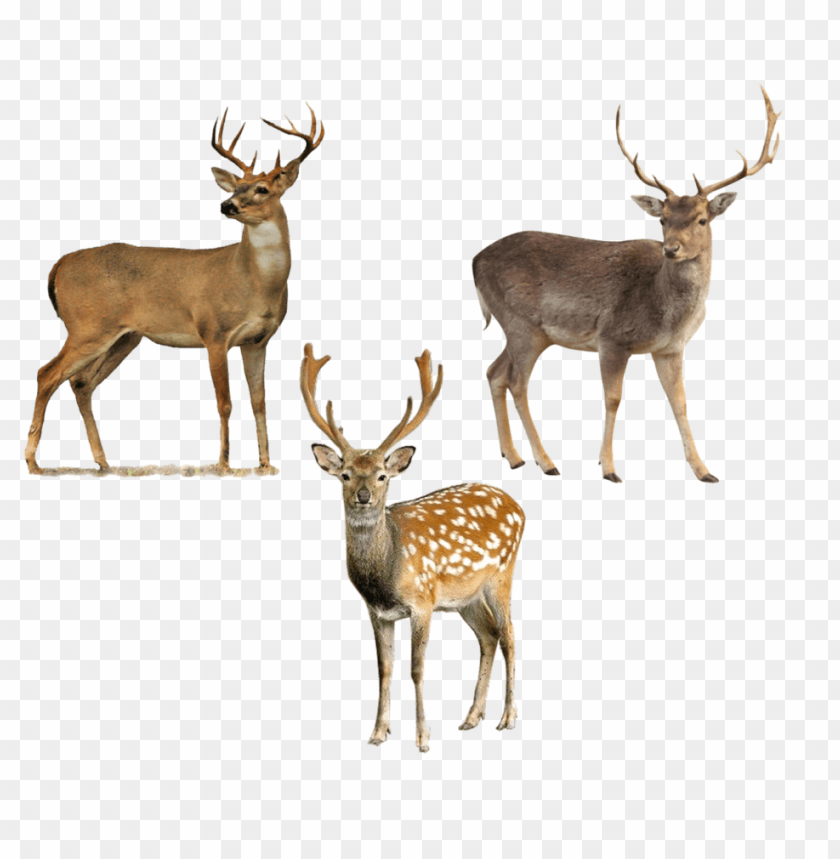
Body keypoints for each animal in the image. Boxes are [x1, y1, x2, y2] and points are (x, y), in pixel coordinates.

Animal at [25, 105, 325, 475]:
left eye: (262, 189)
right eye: (236, 187)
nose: (227, 206)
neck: (253, 281)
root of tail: (59, 266)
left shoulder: (258, 340)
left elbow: (259, 401)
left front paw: (265, 464)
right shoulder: (214, 332)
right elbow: (225, 402)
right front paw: (224, 463)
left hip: (124, 336)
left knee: (80, 383)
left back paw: (103, 462)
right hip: (88, 326)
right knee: (46, 374)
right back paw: (33, 461)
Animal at [301, 344, 524, 752]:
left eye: (381, 475)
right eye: (345, 474)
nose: (362, 496)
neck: (385, 572)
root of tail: (519, 508)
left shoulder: (422, 601)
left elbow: (416, 668)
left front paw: (422, 737)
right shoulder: (378, 612)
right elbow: (384, 668)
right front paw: (377, 732)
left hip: (501, 575)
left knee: (510, 636)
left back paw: (507, 718)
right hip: (465, 597)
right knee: (489, 635)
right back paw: (472, 717)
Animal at [473, 86, 781, 483]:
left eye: (701, 219)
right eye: (663, 219)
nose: (671, 249)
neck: (667, 312)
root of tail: (475, 261)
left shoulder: (670, 348)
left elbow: (680, 402)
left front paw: (704, 471)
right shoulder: (612, 338)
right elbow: (613, 399)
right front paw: (608, 468)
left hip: (527, 331)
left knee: (495, 372)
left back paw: (513, 456)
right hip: (521, 323)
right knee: (516, 382)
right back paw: (546, 461)